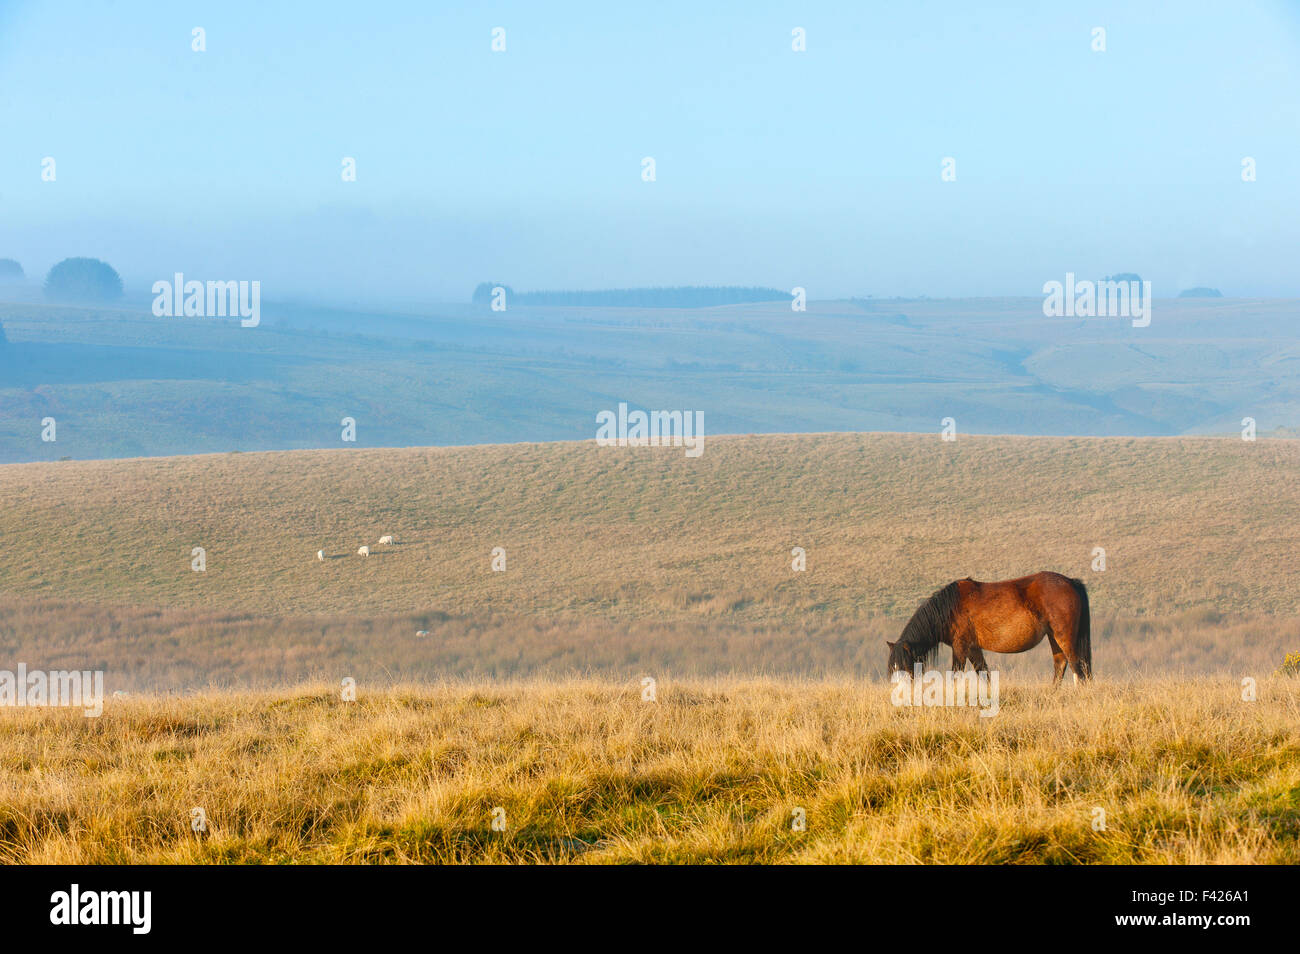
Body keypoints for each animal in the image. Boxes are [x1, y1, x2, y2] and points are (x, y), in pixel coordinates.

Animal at [887, 572, 1091, 686]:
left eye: (906, 665)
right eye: (892, 667)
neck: (949, 608)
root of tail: (1070, 582)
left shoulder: (960, 647)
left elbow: (955, 675)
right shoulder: (973, 648)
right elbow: (984, 674)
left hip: (1063, 636)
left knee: (1077, 668)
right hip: (1053, 636)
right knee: (1061, 665)